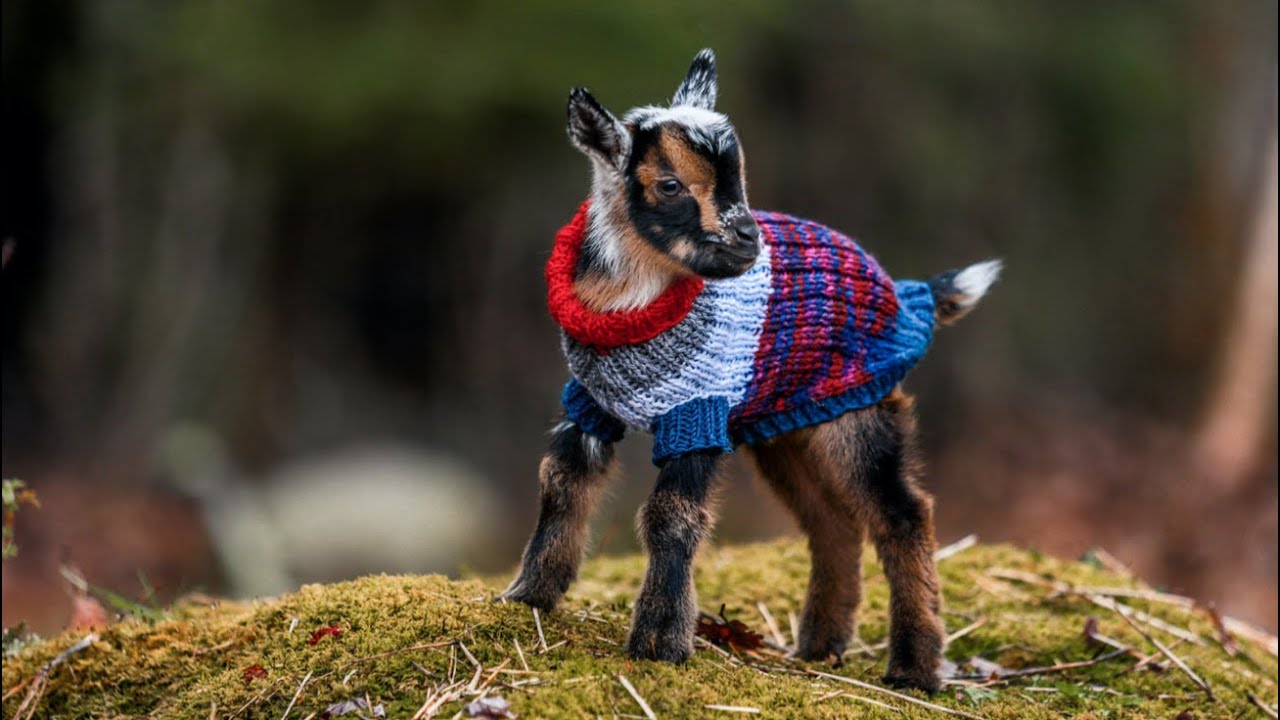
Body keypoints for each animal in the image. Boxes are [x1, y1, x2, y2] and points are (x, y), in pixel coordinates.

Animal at [501, 49, 1001, 693]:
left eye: (739, 176)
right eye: (670, 184)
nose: (748, 241)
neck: (633, 302)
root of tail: (906, 294)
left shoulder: (697, 409)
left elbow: (671, 516)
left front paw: (660, 643)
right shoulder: (589, 401)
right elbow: (560, 482)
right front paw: (528, 598)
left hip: (858, 407)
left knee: (902, 512)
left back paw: (913, 669)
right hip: (788, 424)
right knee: (832, 523)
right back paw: (819, 647)